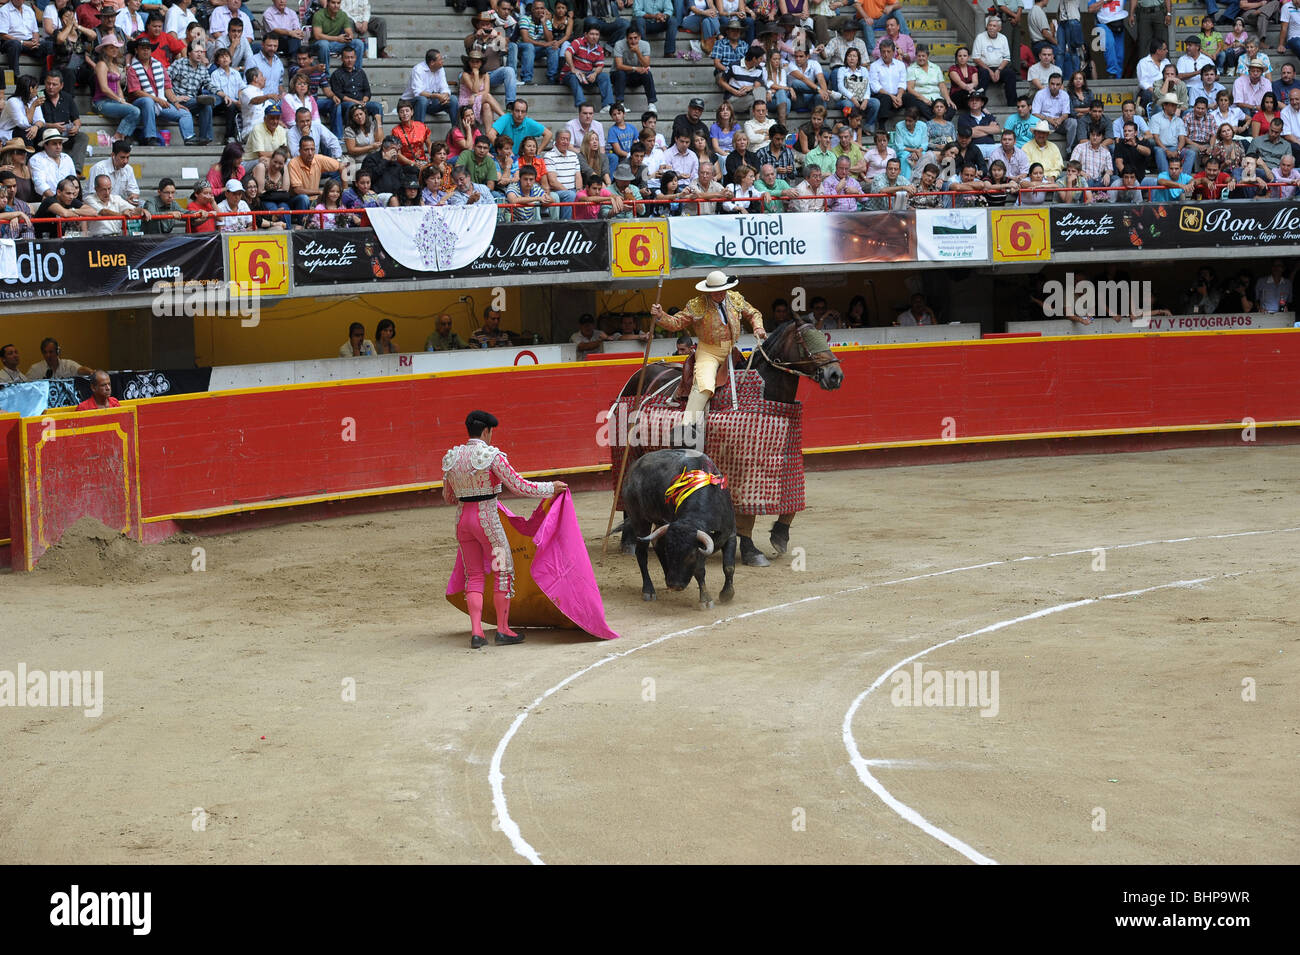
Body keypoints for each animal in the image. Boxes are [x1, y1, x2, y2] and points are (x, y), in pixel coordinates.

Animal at [623, 449, 737, 609]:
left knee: (657, 544)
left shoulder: (730, 534)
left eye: (690, 555)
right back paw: (649, 590)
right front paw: (706, 599)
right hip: (639, 521)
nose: (675, 584)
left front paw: (727, 594)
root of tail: (632, 470)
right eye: (670, 552)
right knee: (642, 553)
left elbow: (729, 566)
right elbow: (699, 571)